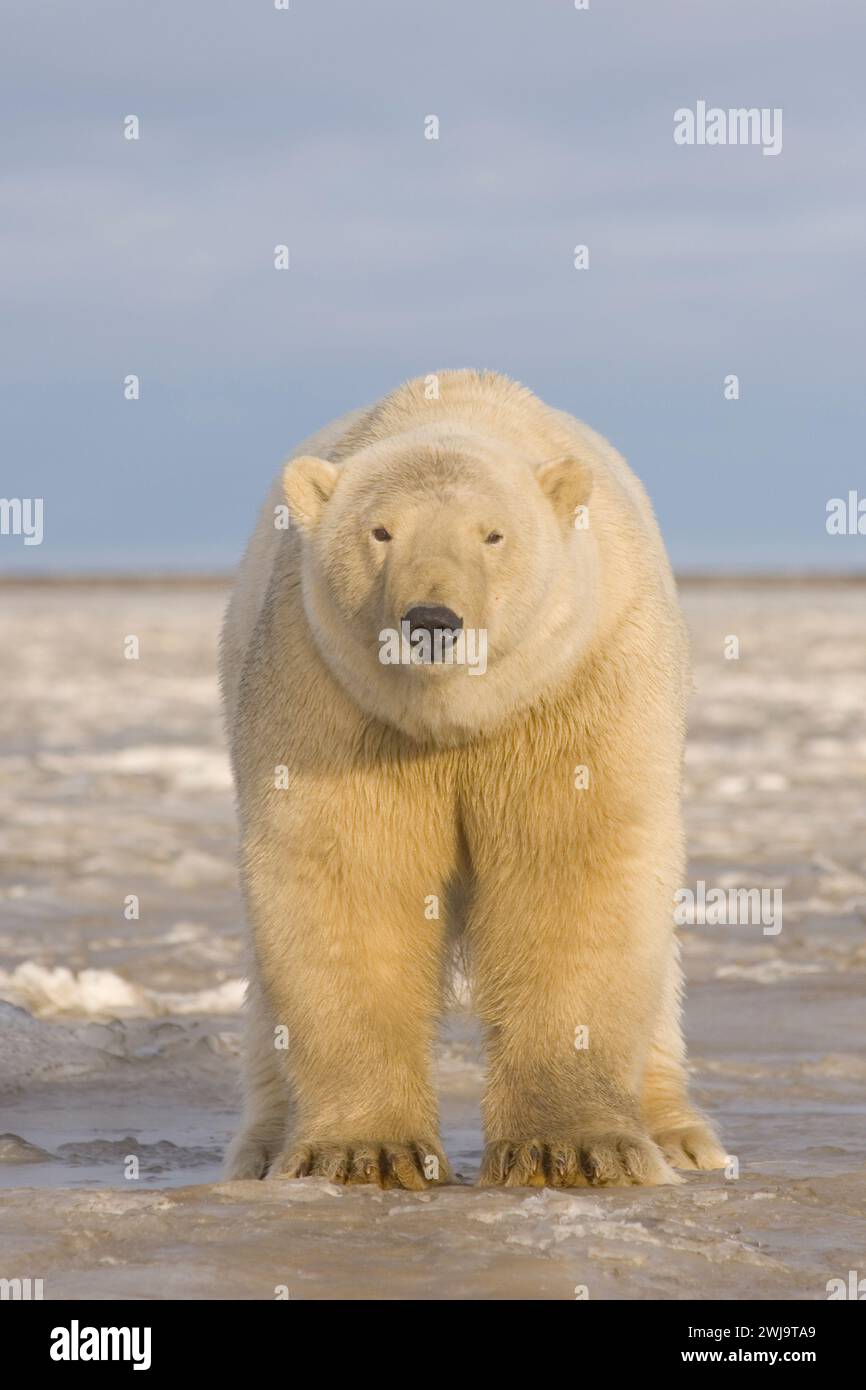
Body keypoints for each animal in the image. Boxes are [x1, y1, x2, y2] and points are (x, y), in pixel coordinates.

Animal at [221, 369, 725, 1189]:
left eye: (493, 535)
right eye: (381, 532)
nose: (432, 620)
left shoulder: (580, 680)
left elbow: (573, 867)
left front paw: (575, 1150)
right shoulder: (327, 690)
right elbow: (346, 872)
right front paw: (363, 1153)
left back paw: (681, 1136)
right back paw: (261, 1148)